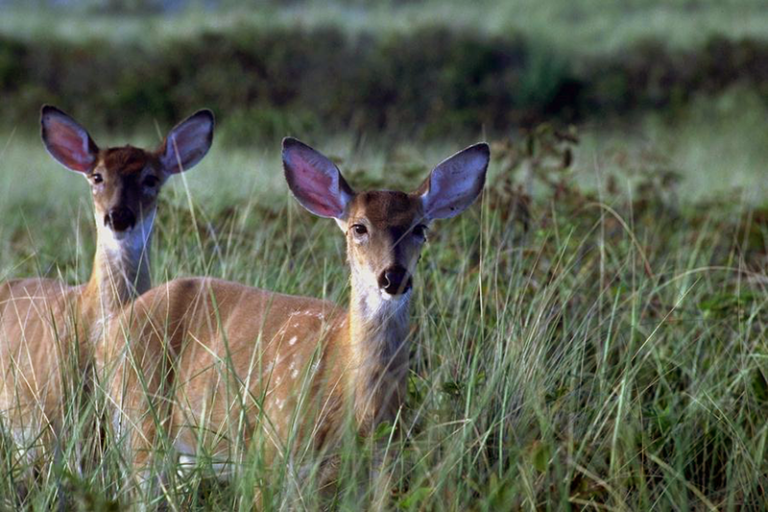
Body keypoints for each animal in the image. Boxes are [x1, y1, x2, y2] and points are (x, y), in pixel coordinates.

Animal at [103, 137, 489, 505]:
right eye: (359, 227)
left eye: (420, 229)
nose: (393, 277)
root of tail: (120, 319)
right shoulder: (271, 446)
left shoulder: (385, 460)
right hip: (138, 418)